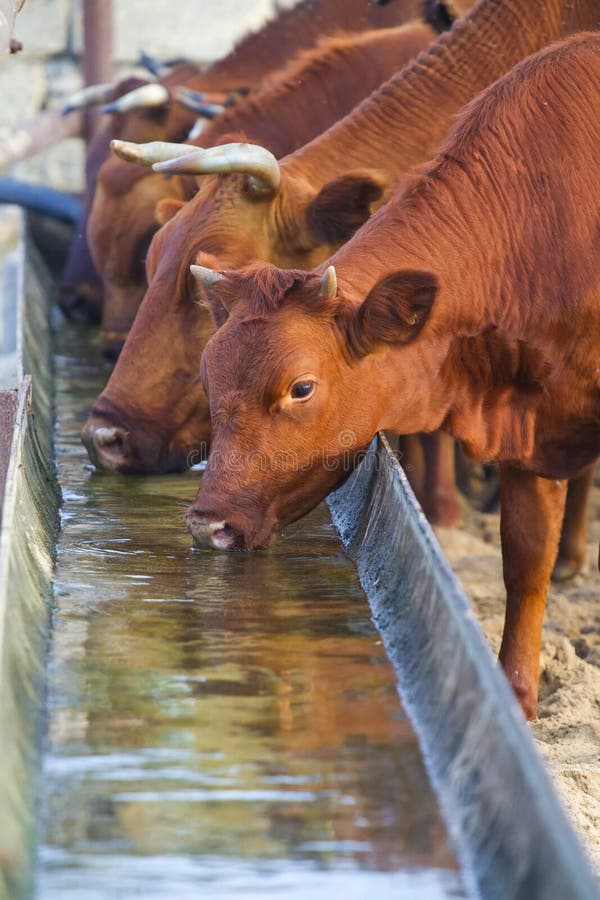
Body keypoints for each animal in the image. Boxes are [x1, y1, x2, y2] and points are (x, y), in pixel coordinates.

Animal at [184, 33, 600, 721]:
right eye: (210, 379)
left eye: (301, 387)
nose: (208, 523)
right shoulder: (530, 423)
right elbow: (524, 557)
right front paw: (514, 698)